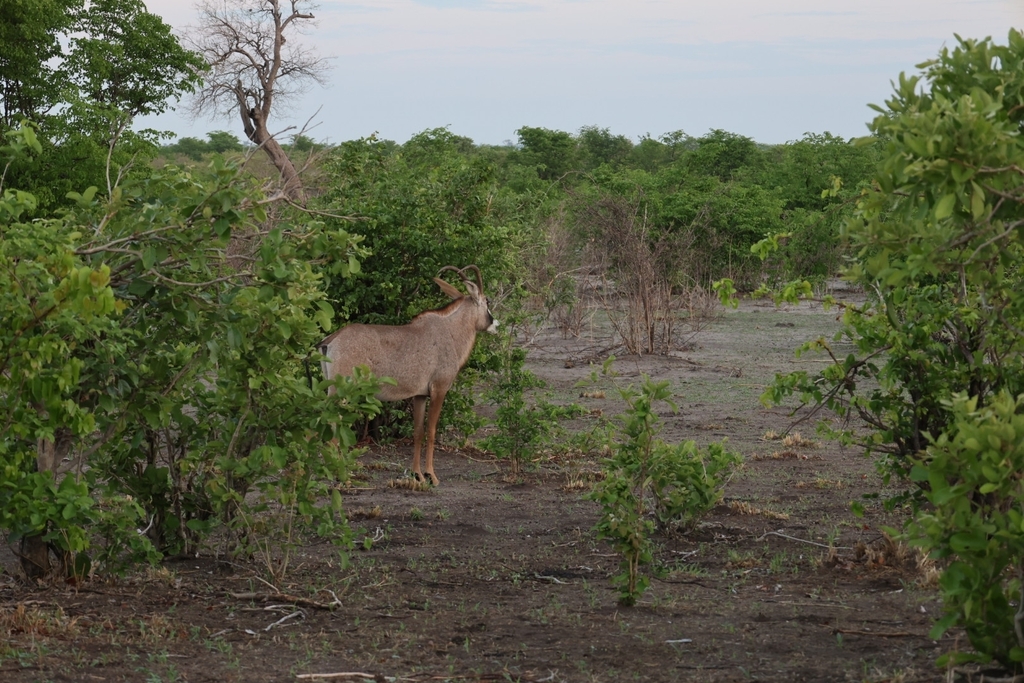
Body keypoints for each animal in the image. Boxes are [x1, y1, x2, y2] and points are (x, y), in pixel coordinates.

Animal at [318, 265, 498, 485]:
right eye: (487, 301)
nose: (495, 325)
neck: (450, 331)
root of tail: (331, 340)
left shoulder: (419, 395)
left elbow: (418, 432)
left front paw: (417, 474)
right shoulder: (439, 389)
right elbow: (431, 430)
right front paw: (431, 476)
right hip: (343, 392)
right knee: (333, 426)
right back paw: (342, 477)